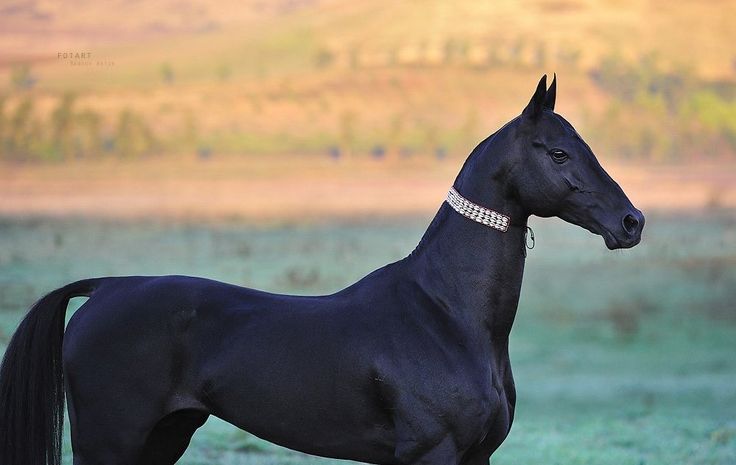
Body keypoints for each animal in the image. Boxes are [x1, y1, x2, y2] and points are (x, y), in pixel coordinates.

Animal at [0, 75, 644, 465]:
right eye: (558, 153)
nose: (631, 222)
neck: (446, 315)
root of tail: (104, 289)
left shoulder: (477, 455)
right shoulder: (434, 452)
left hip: (163, 437)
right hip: (111, 442)